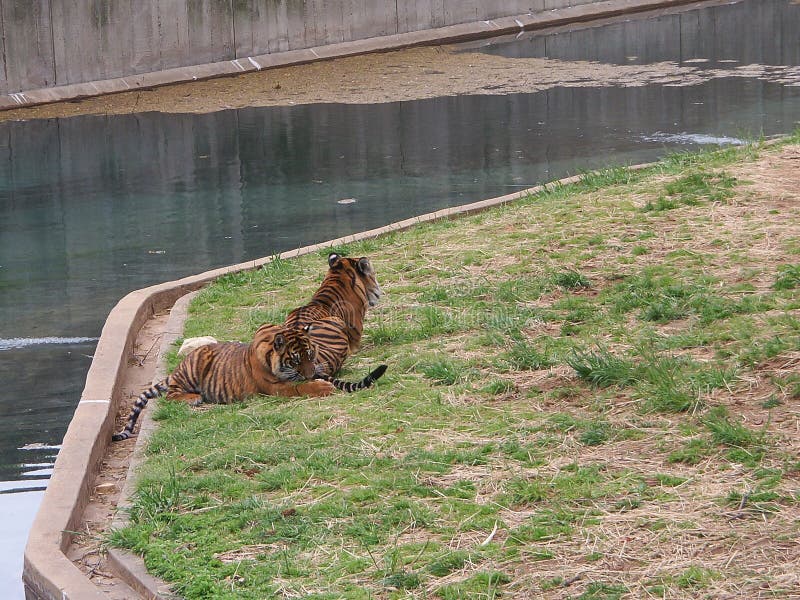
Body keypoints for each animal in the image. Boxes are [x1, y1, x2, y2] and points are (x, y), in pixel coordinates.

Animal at [112, 323, 384, 441]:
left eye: (310, 354)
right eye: (296, 359)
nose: (309, 373)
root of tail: (178, 367)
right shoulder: (276, 387)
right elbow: (299, 387)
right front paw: (321, 387)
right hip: (193, 368)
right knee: (171, 392)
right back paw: (194, 398)